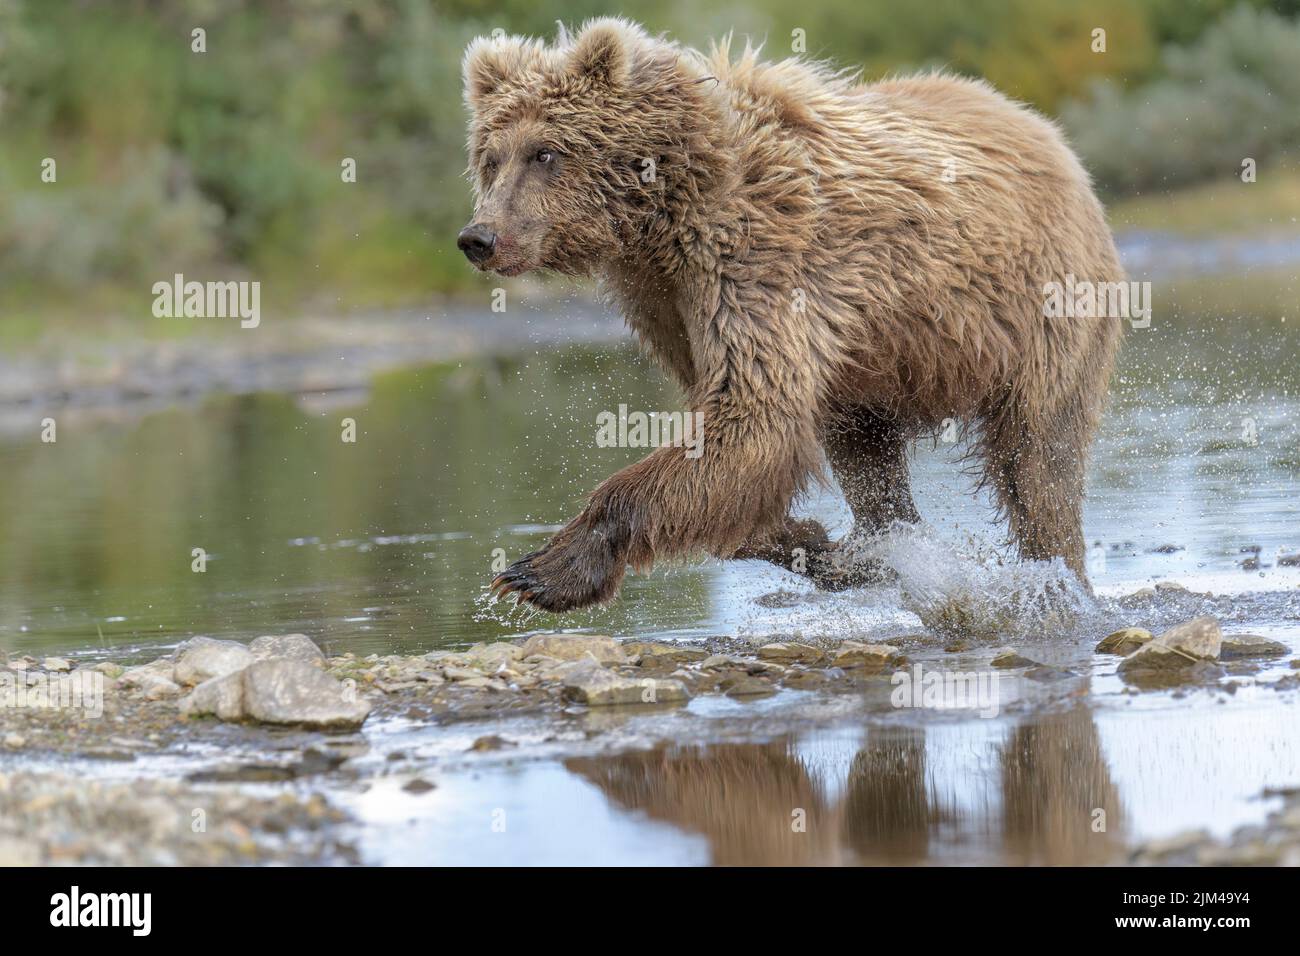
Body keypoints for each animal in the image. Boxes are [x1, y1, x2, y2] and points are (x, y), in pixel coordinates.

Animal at [459, 18, 1123, 612]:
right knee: (870, 457)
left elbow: (755, 415)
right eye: (491, 158)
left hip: (1039, 309)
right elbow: (740, 449)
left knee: (1036, 460)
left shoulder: (756, 260)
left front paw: (540, 570)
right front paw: (817, 543)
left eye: (544, 153)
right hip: (875, 369)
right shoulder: (667, 300)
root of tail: (1049, 134)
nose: (479, 237)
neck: (667, 211)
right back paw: (891, 543)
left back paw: (1057, 575)